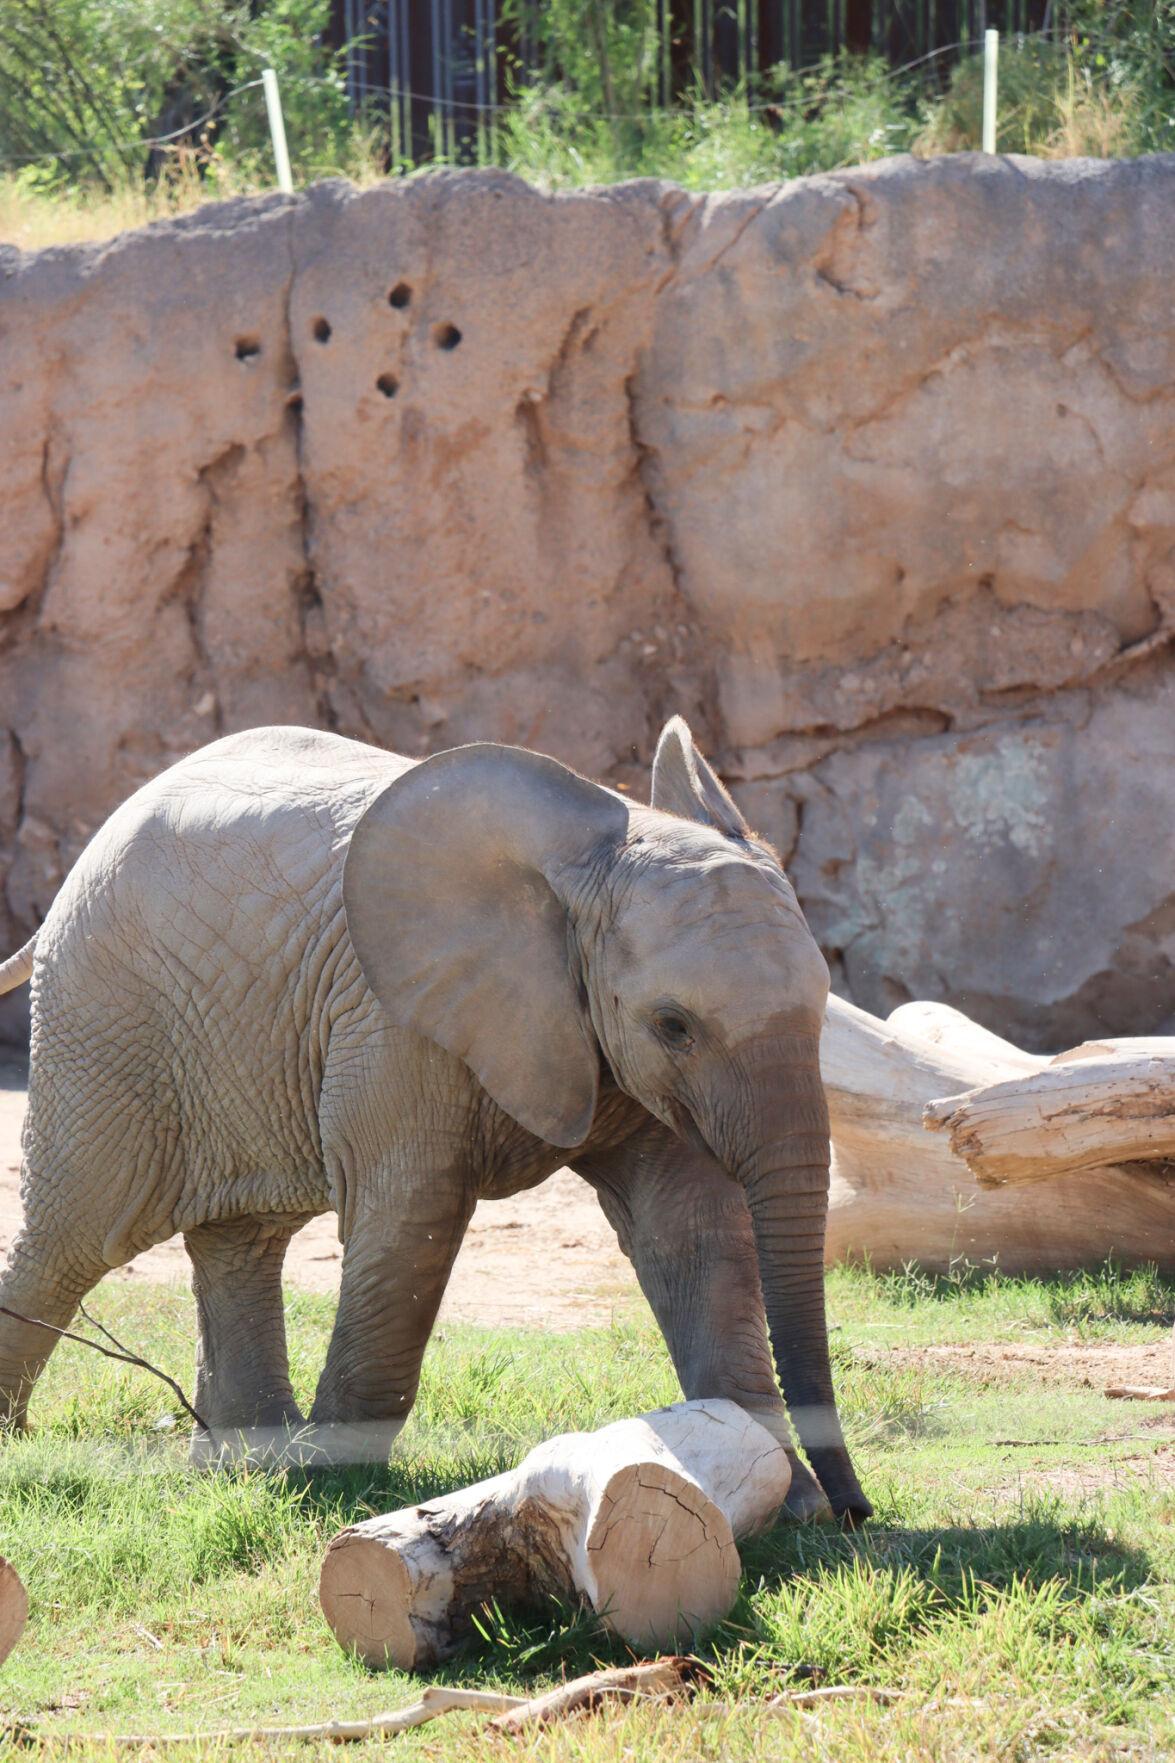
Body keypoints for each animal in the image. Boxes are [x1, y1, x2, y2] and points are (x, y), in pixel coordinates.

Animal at [0, 717, 869, 1523]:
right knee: (69, 1242)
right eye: (673, 1024)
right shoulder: (396, 1019)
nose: (855, 1510)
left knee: (239, 1238)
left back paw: (245, 1469)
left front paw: (785, 1502)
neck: (588, 858)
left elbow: (690, 1231)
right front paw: (333, 1485)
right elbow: (412, 1215)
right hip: (103, 1015)